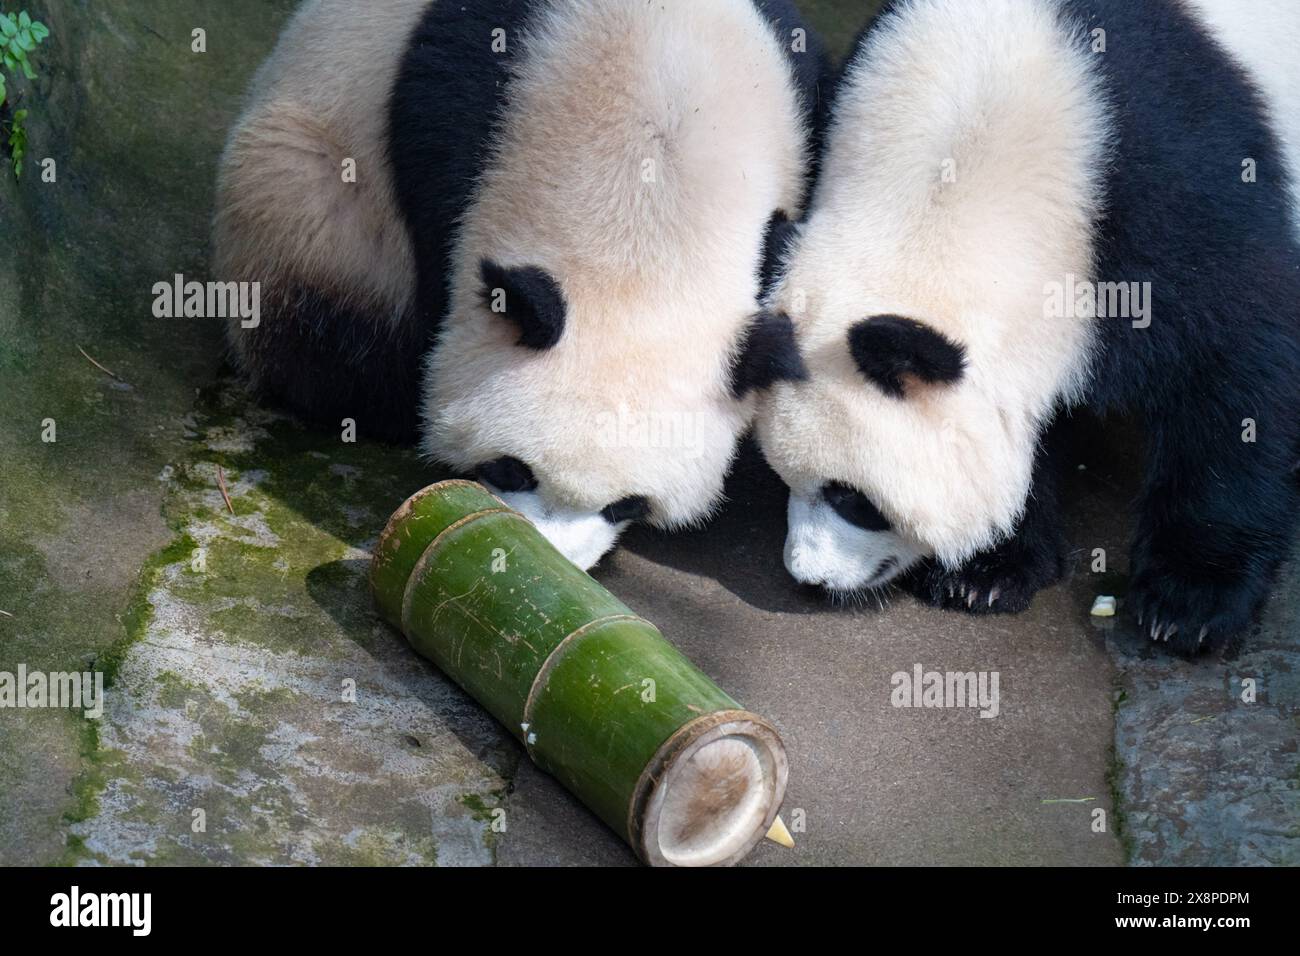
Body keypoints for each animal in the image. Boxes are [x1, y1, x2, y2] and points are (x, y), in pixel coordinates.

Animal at [756, 0, 1300, 653]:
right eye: (780, 476)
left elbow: (1235, 373)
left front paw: (1189, 602)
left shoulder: (1180, 194)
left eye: (853, 498)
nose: (808, 575)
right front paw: (986, 570)